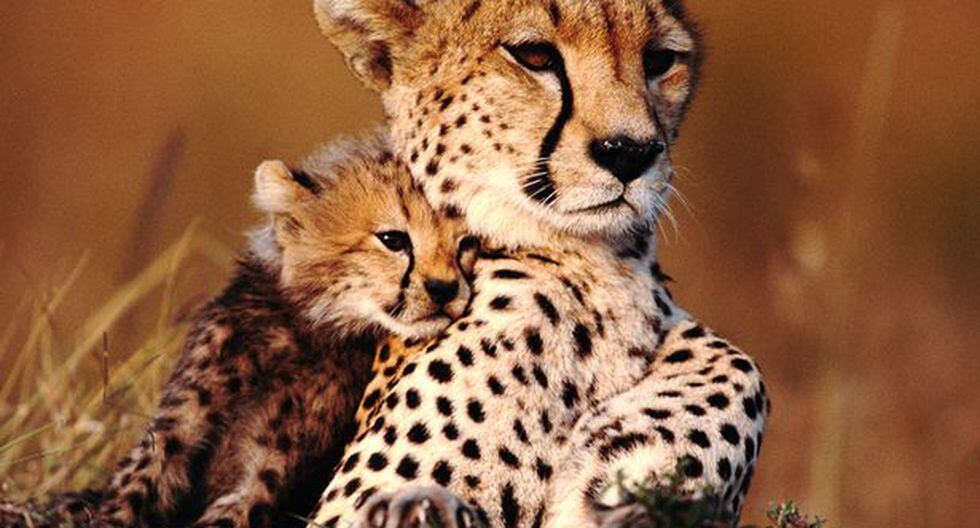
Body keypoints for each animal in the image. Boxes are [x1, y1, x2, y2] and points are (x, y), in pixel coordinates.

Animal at [91, 136, 478, 528]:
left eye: (467, 244)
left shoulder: (271, 470)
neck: (305, 330)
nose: (444, 289)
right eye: (394, 239)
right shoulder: (176, 429)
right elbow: (129, 490)